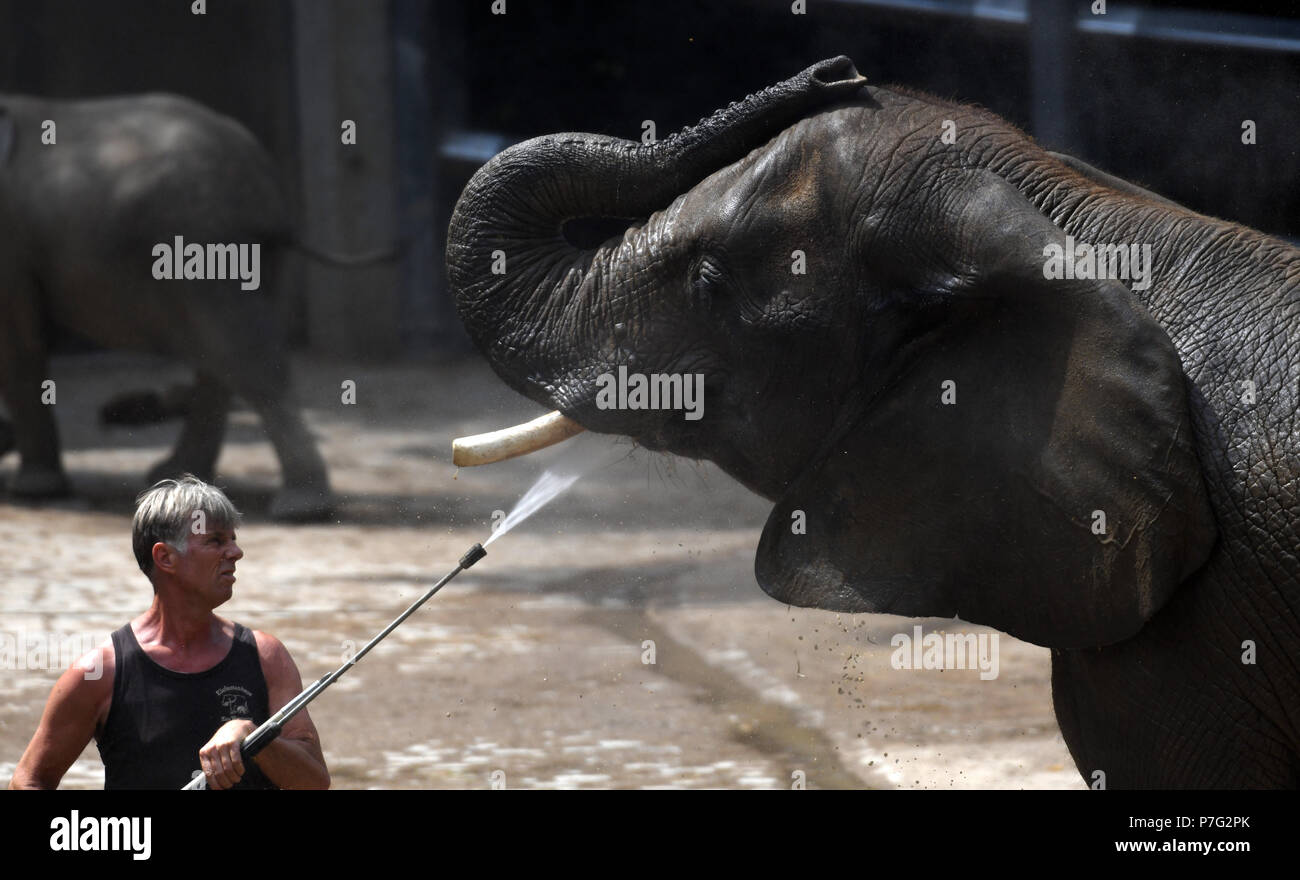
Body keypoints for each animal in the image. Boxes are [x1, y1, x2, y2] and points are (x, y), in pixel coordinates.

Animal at [0, 92, 332, 520]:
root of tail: (265, 181)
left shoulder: (9, 244)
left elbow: (17, 346)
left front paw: (33, 490)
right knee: (220, 359)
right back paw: (178, 476)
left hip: (205, 244)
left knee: (245, 358)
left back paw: (300, 509)